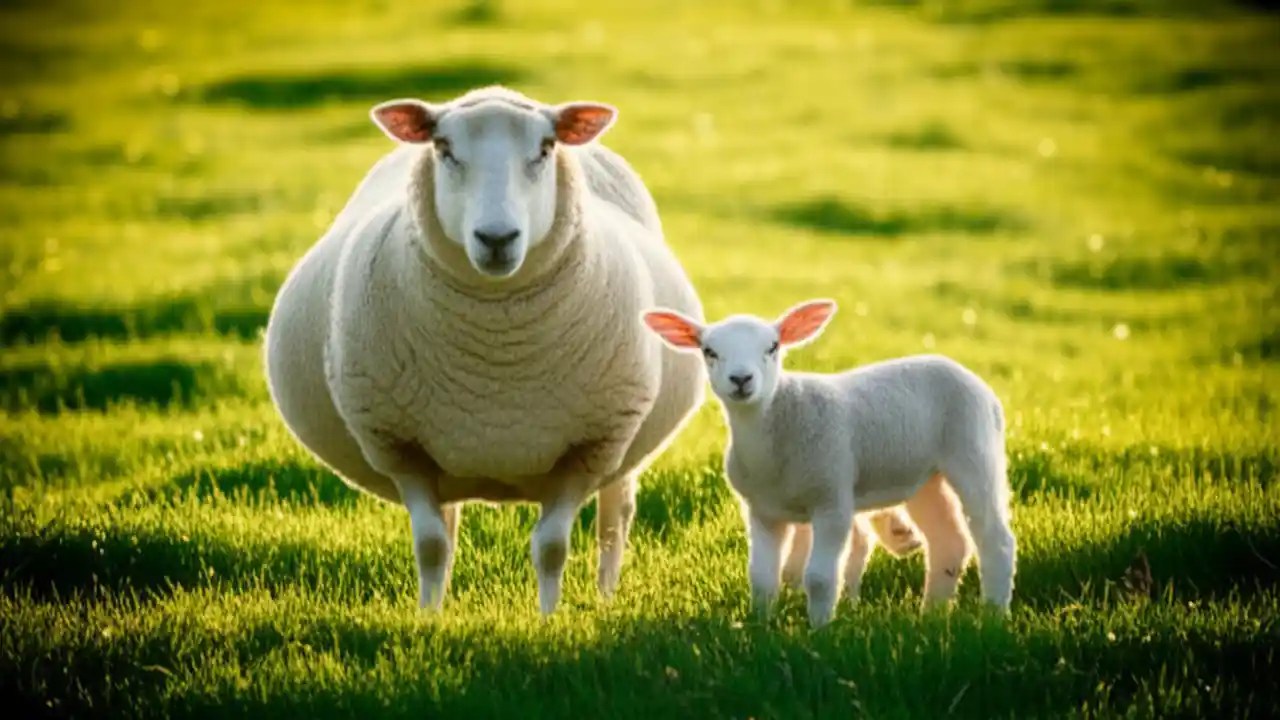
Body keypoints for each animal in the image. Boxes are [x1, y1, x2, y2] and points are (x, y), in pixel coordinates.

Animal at [264, 86, 705, 615]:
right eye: (444, 149)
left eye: (544, 149)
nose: (497, 238)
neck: (496, 357)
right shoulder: (399, 446)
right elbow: (431, 545)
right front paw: (429, 618)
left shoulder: (589, 448)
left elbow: (551, 547)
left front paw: (548, 620)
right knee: (451, 525)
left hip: (623, 450)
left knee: (614, 520)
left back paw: (604, 597)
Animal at [641, 299, 1016, 627]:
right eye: (709, 351)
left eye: (773, 347)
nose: (741, 379)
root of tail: (982, 387)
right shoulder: (762, 512)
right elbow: (761, 578)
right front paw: (759, 625)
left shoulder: (831, 500)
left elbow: (820, 578)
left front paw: (820, 629)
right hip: (925, 477)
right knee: (948, 543)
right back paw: (933, 615)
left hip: (974, 451)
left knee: (995, 538)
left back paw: (993, 615)